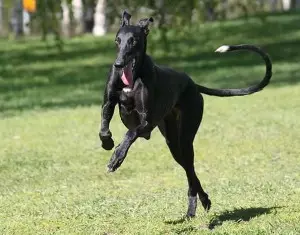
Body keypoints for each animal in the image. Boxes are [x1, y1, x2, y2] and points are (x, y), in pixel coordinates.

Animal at [99, 10, 272, 217]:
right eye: (117, 40)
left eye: (133, 41)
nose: (118, 64)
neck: (132, 78)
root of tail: (192, 83)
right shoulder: (108, 104)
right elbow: (104, 128)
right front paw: (108, 143)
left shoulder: (147, 122)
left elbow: (130, 133)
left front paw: (116, 158)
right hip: (173, 143)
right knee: (189, 170)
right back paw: (203, 201)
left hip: (186, 136)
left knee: (190, 171)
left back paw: (195, 206)